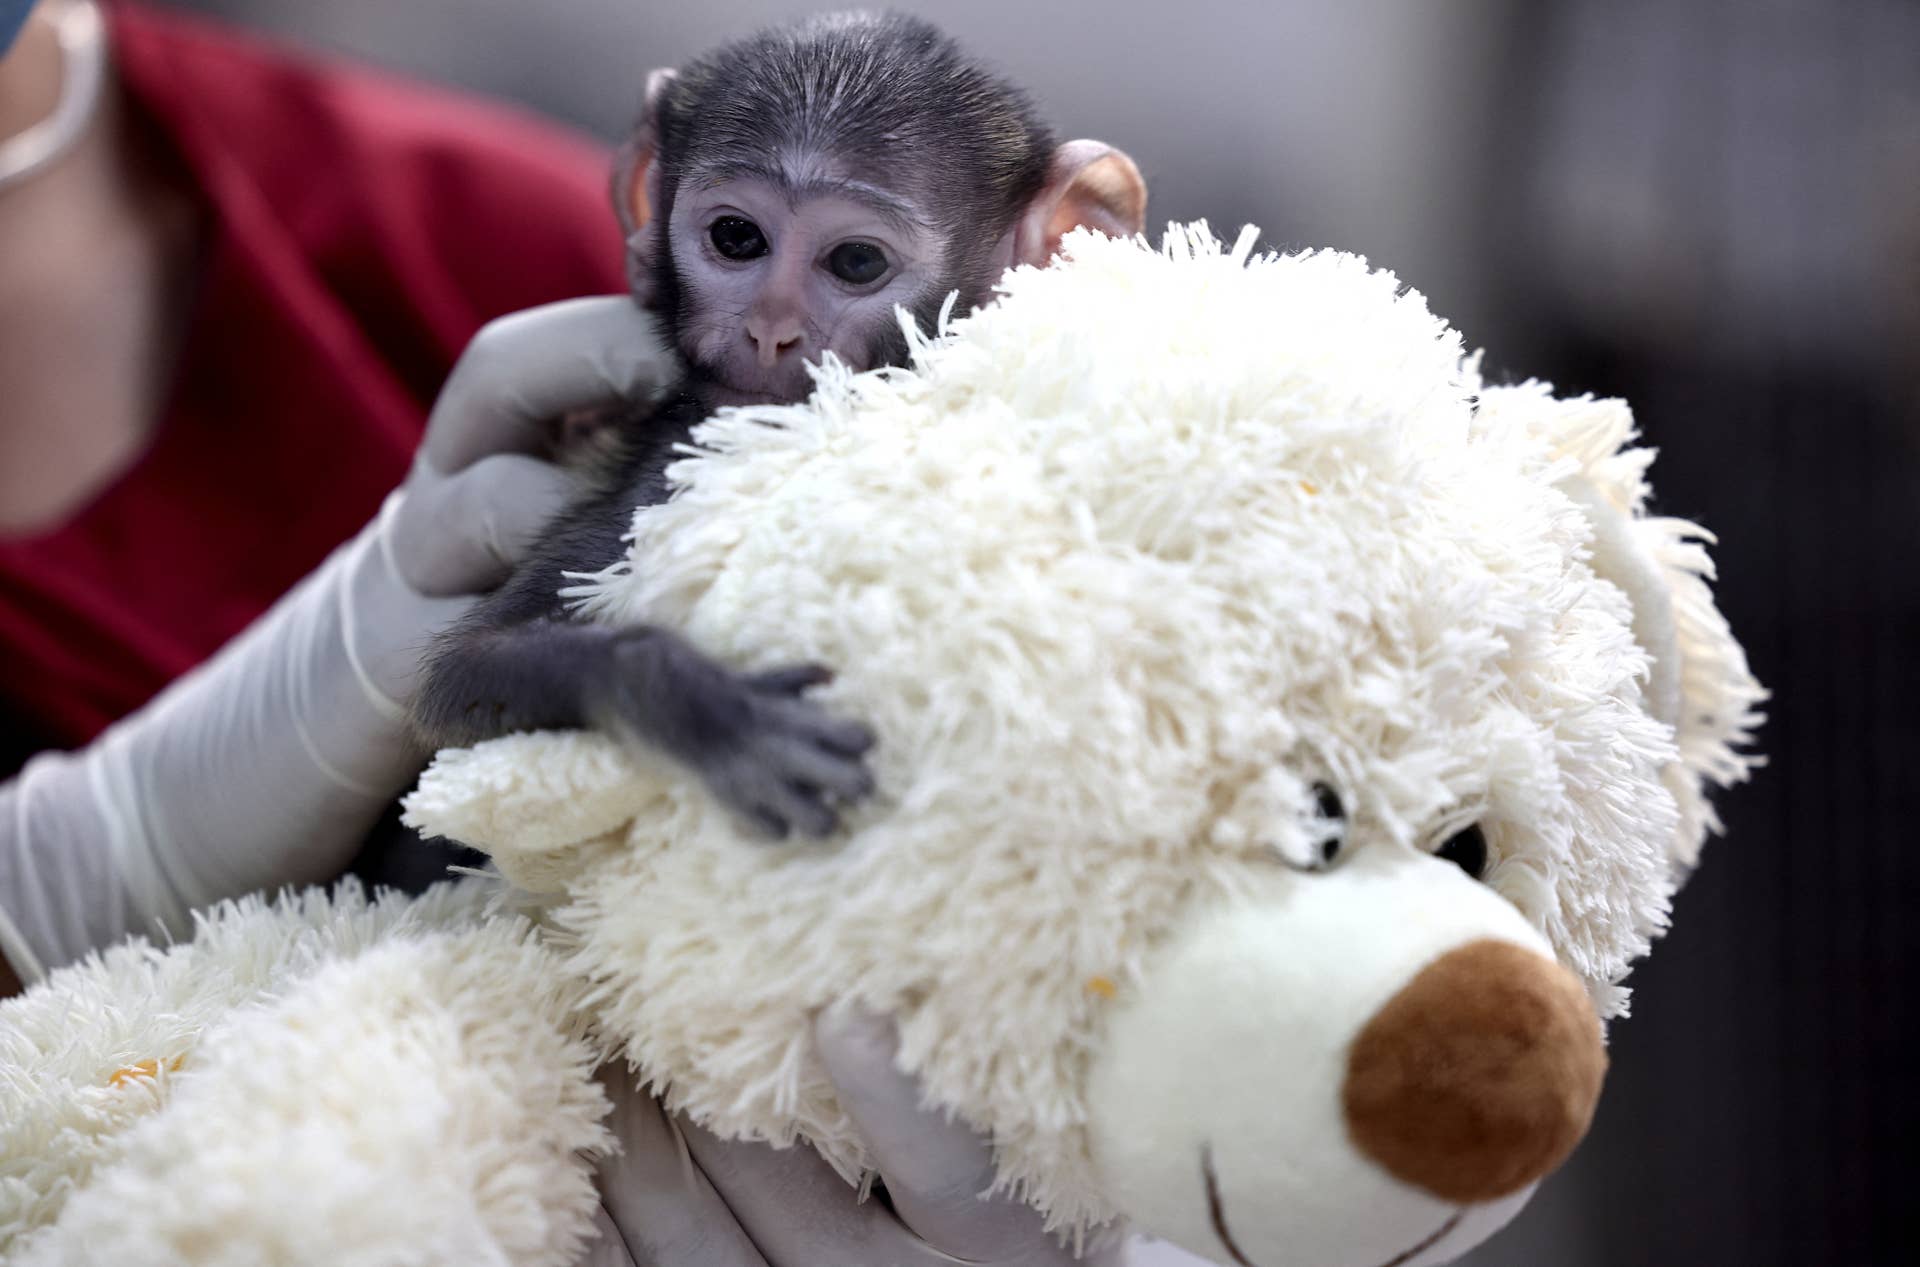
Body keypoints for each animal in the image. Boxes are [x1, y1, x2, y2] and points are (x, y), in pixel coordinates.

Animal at [410, 11, 1147, 841]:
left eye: (855, 260)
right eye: (737, 237)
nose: (769, 332)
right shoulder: (662, 468)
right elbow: (458, 673)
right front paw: (710, 712)